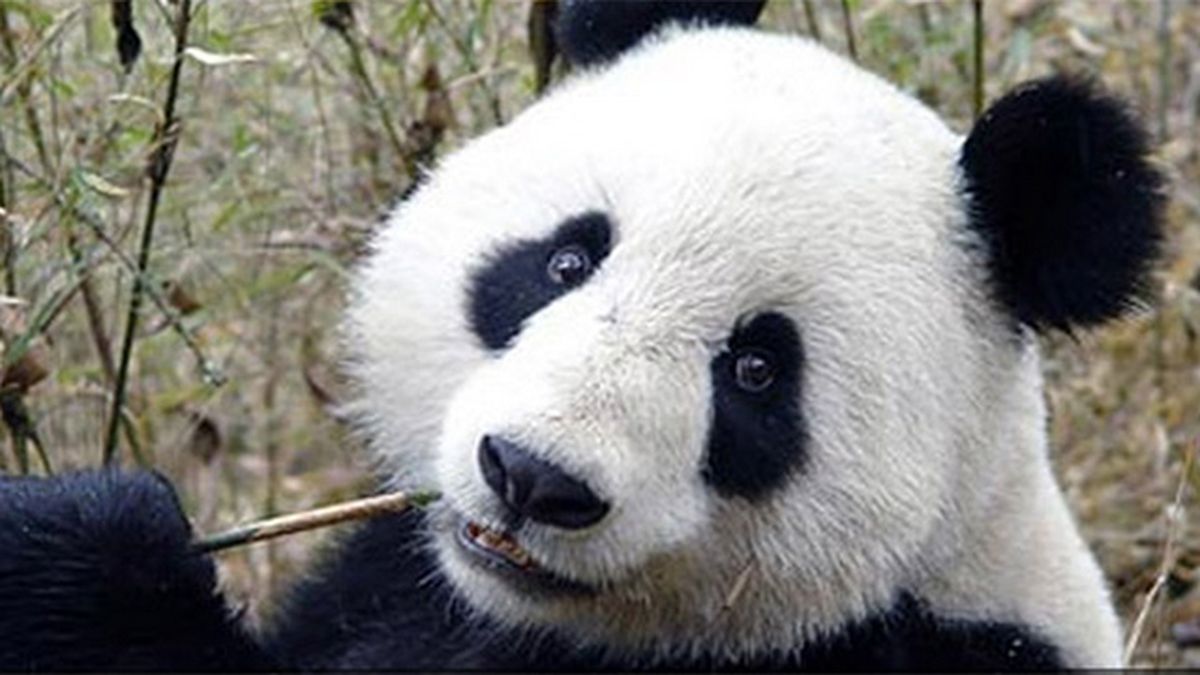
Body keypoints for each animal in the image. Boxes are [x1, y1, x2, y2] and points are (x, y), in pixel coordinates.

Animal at [0, 1, 1165, 671]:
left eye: (755, 370)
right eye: (566, 260)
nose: (531, 476)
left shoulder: (906, 656)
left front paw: (89, 551)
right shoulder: (394, 574)